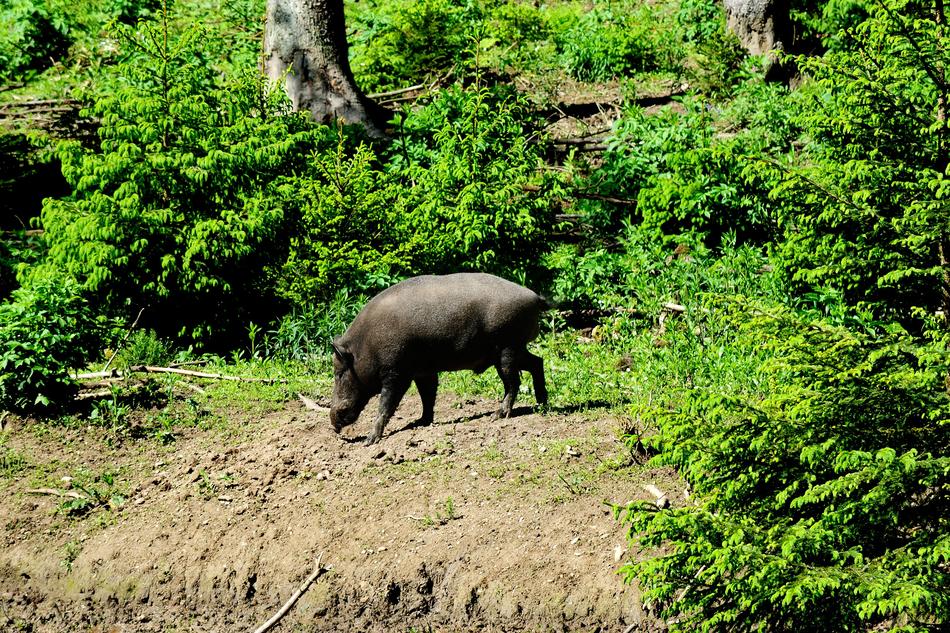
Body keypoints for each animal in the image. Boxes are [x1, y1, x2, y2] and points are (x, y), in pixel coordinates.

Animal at [329, 273, 549, 445]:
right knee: (537, 362)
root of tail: (534, 297)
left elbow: (386, 404)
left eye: (339, 373)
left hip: (507, 349)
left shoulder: (396, 373)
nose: (333, 425)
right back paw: (542, 404)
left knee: (513, 382)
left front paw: (369, 441)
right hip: (515, 350)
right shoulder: (423, 371)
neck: (365, 346)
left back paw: (498, 415)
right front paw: (421, 422)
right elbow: (428, 396)